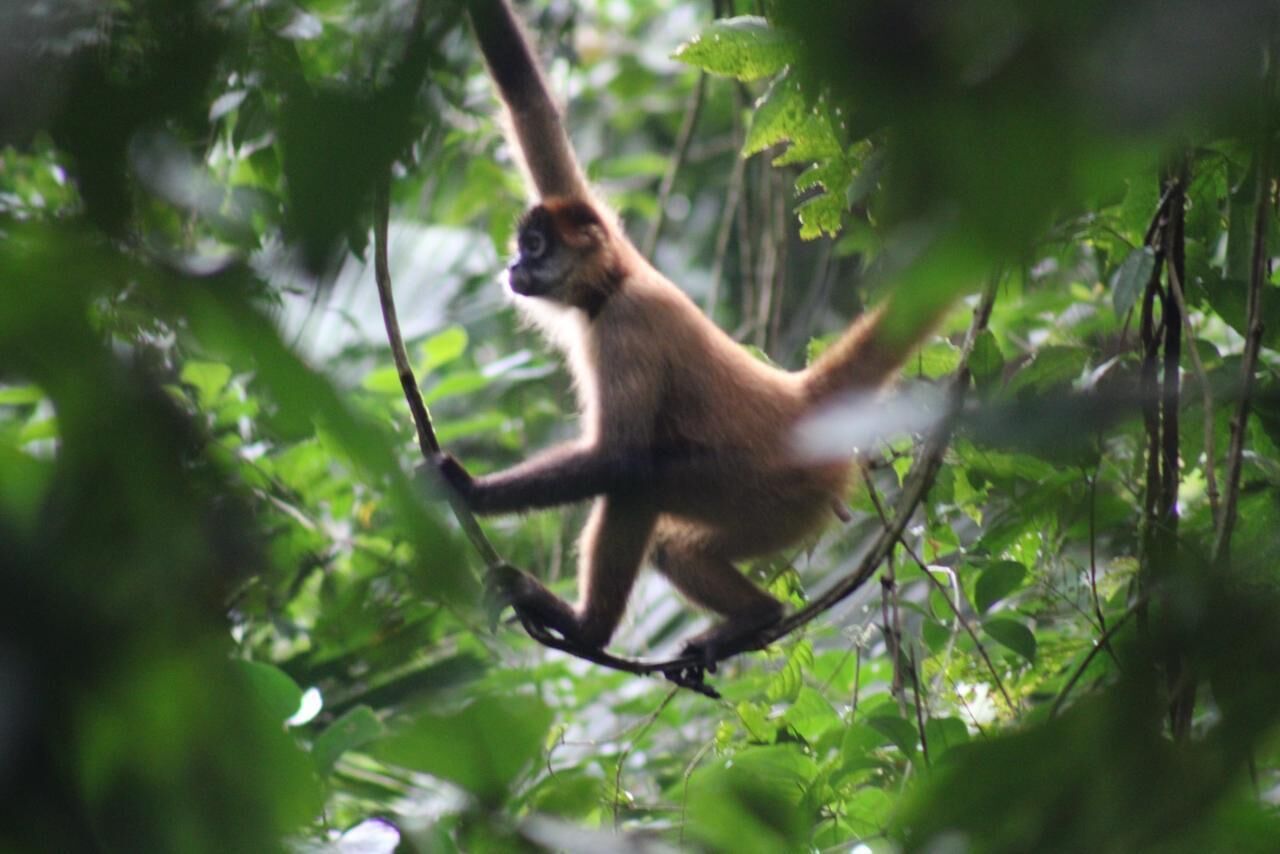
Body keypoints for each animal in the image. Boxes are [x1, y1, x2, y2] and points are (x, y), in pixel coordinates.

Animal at [440, 0, 953, 667]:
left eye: (534, 246)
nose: (512, 268)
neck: (613, 284)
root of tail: (797, 399)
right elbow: (530, 104)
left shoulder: (630, 324)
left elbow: (621, 460)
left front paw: (468, 488)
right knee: (672, 545)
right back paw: (758, 614)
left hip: (772, 493)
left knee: (641, 483)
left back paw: (589, 630)